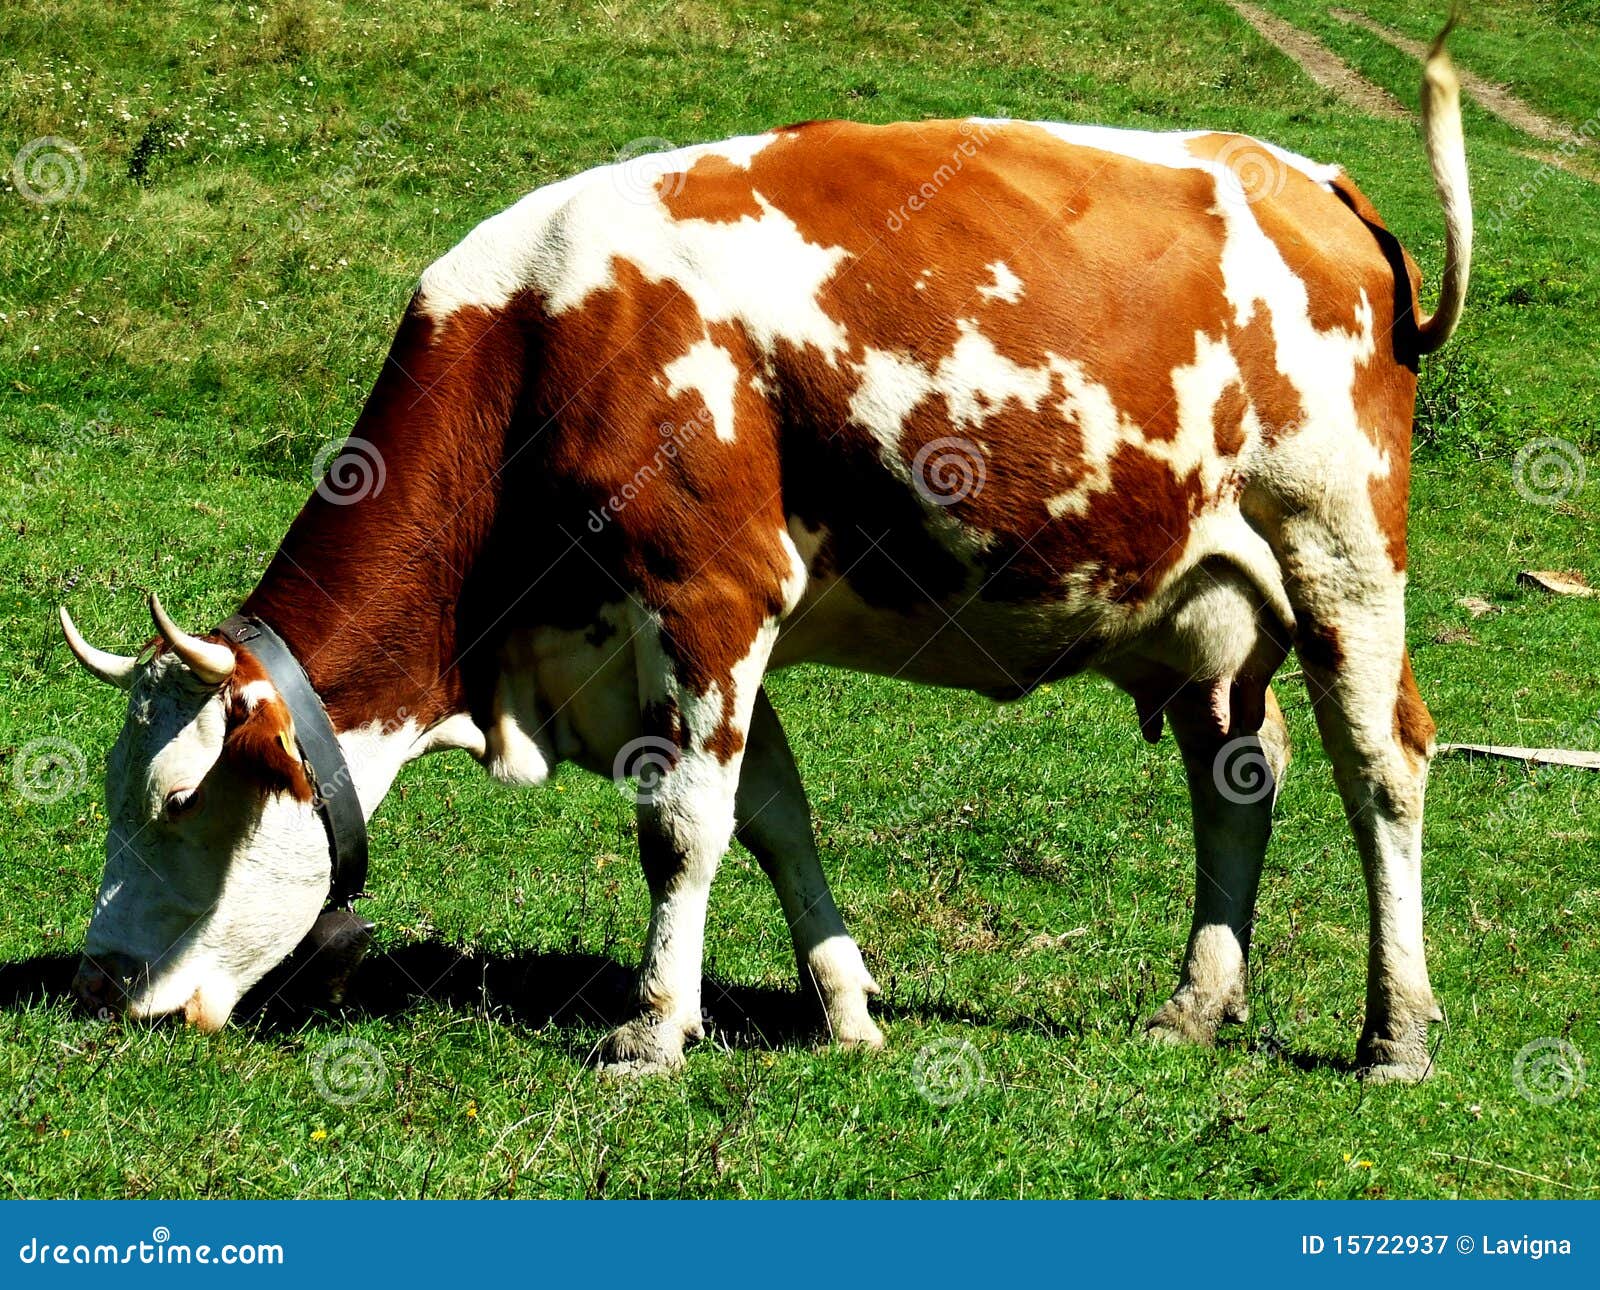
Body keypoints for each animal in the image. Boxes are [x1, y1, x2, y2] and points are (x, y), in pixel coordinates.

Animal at [60, 29, 1470, 1082]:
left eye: (174, 798)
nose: (98, 985)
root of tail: (1306, 176)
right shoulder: (668, 629)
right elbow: (773, 816)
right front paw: (845, 1010)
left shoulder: (708, 590)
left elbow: (685, 828)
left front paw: (649, 1031)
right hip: (1201, 600)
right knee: (1238, 772)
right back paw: (1194, 1005)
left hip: (1339, 550)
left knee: (1383, 765)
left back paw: (1394, 1032)